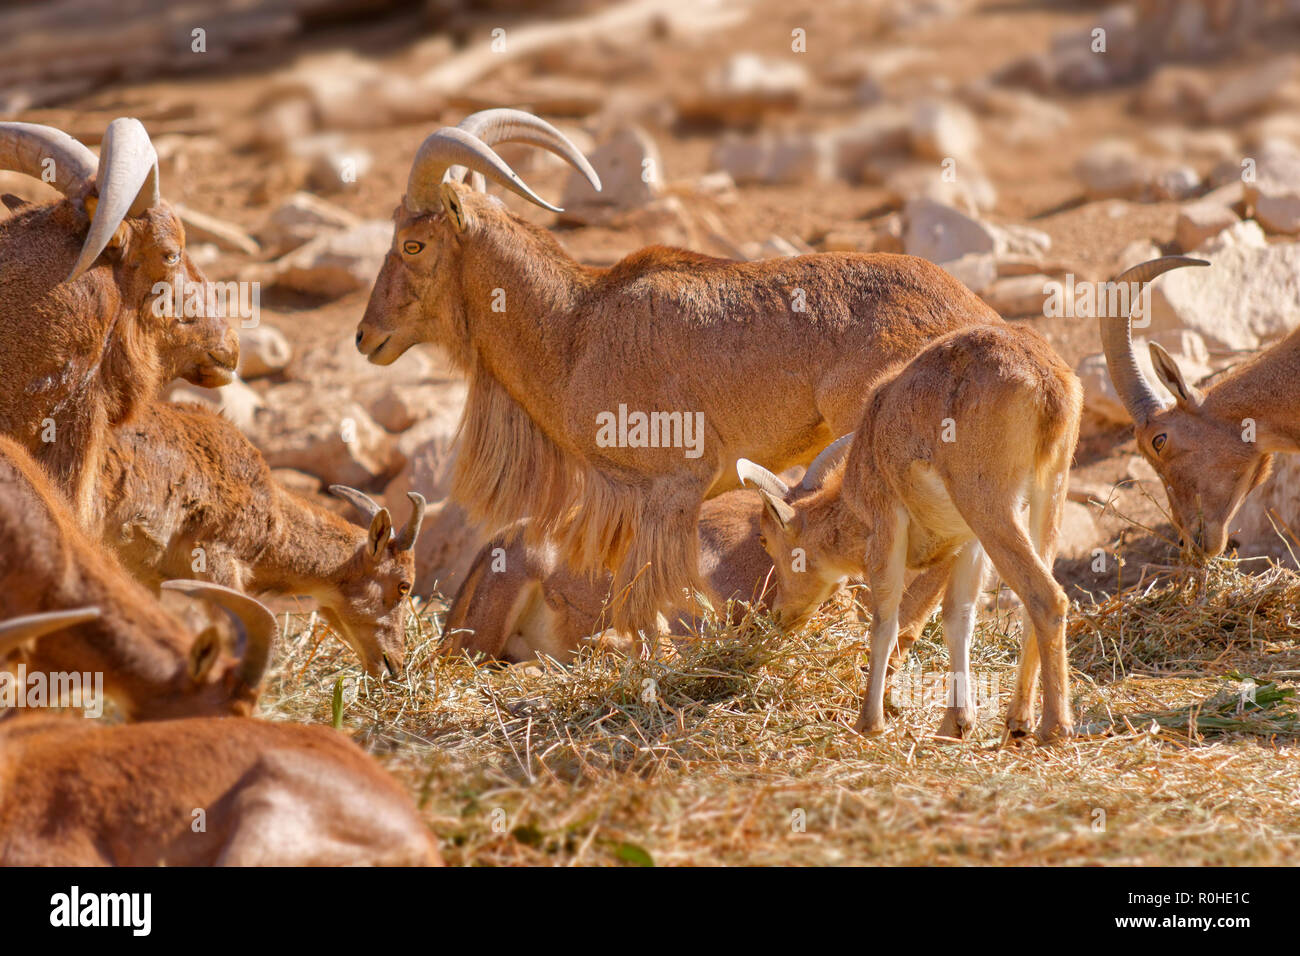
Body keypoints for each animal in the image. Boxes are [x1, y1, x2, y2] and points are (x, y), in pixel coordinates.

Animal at [738, 323, 1082, 741]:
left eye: (765, 540)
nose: (779, 615)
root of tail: (1049, 384)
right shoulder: (969, 542)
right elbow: (958, 617)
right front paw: (954, 724)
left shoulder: (888, 524)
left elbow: (885, 621)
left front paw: (868, 723)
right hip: (1049, 490)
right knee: (1037, 594)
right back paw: (1018, 719)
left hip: (989, 504)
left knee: (1047, 598)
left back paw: (1054, 727)